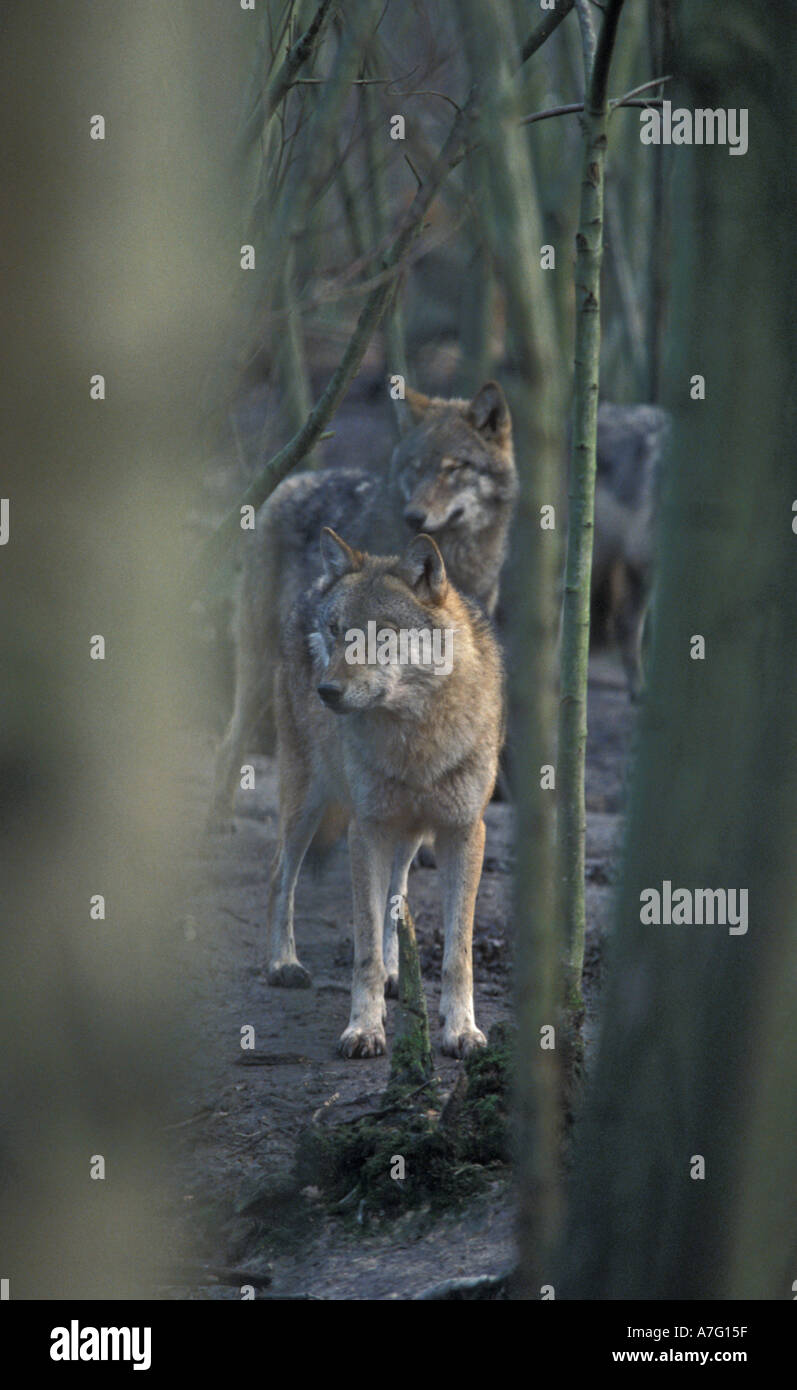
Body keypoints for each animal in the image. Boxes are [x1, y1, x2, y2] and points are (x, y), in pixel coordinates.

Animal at [208, 380, 516, 827]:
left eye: (453, 467)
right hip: (260, 664)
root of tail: (293, 478)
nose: (415, 516)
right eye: (415, 468)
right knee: (232, 739)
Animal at [265, 527, 503, 1059]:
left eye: (382, 634)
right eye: (336, 631)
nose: (326, 691)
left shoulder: (464, 832)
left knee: (399, 894)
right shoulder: (366, 830)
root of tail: (313, 587)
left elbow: (458, 953)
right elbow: (366, 948)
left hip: (407, 833)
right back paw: (282, 964)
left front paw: (462, 1031)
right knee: (280, 877)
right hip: (306, 804)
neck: (416, 741)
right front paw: (363, 1030)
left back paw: (399, 975)